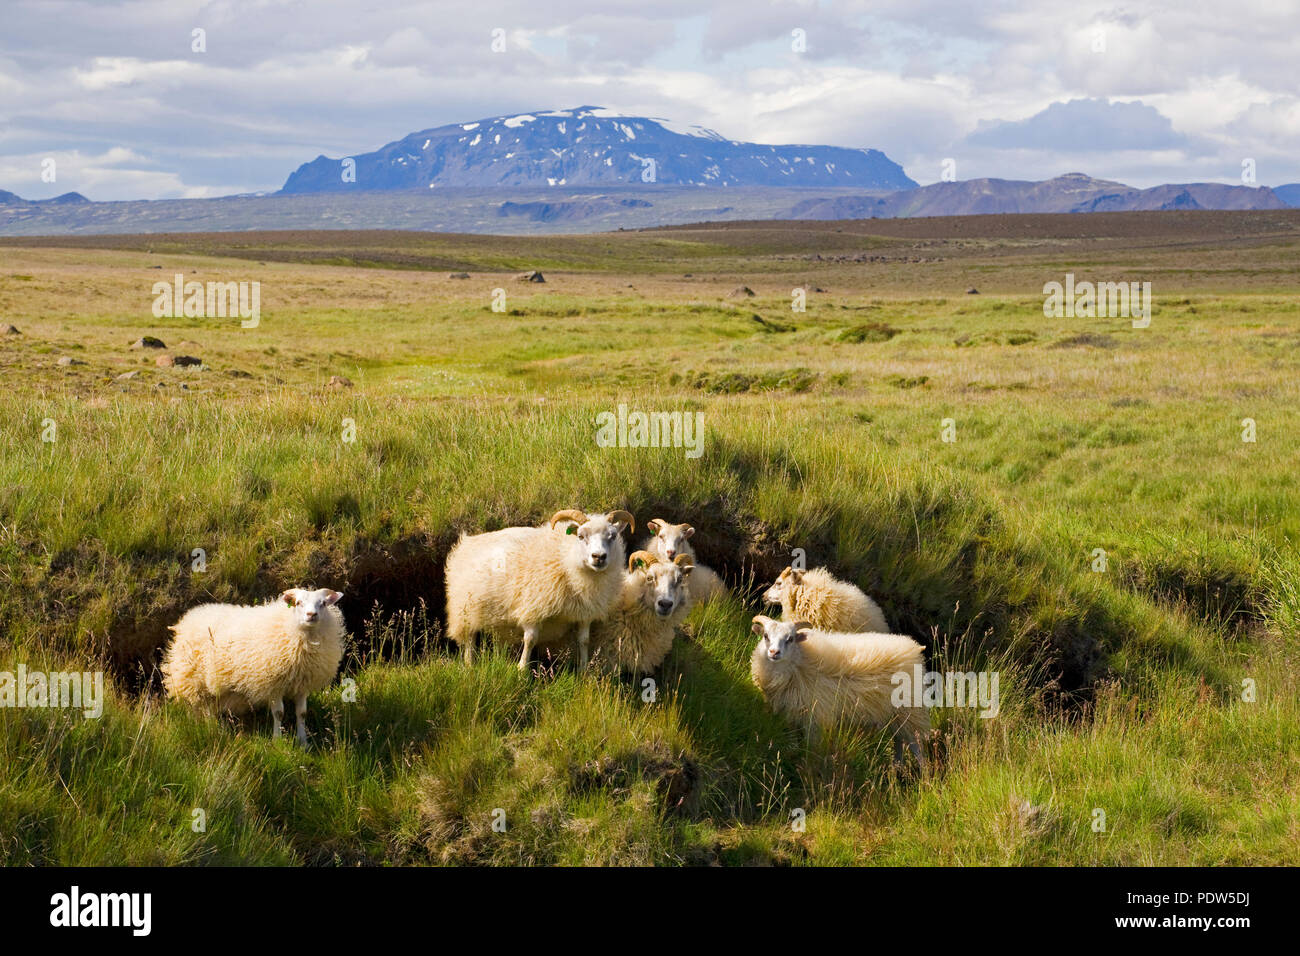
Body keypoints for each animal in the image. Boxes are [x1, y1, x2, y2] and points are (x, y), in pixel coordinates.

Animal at [161, 588, 346, 746]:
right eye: (298, 602)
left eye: (323, 603)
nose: (311, 614)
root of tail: (190, 616)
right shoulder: (273, 683)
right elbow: (279, 713)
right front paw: (277, 741)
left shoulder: (302, 684)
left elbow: (301, 713)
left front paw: (303, 742)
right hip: (192, 678)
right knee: (201, 704)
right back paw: (211, 728)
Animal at [444, 508, 634, 670]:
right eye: (580, 536)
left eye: (613, 536)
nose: (599, 557)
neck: (565, 557)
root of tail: (466, 542)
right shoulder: (532, 608)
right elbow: (530, 640)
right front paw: (522, 670)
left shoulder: (585, 613)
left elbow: (584, 640)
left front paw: (583, 670)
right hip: (465, 610)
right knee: (469, 640)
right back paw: (469, 665)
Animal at [749, 615, 927, 767]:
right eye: (765, 636)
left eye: (790, 639)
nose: (774, 652)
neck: (801, 662)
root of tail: (913, 648)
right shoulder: (790, 712)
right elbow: (792, 741)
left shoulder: (815, 716)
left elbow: (811, 746)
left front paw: (809, 766)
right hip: (896, 716)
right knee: (899, 741)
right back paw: (897, 769)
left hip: (911, 714)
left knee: (917, 749)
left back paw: (923, 777)